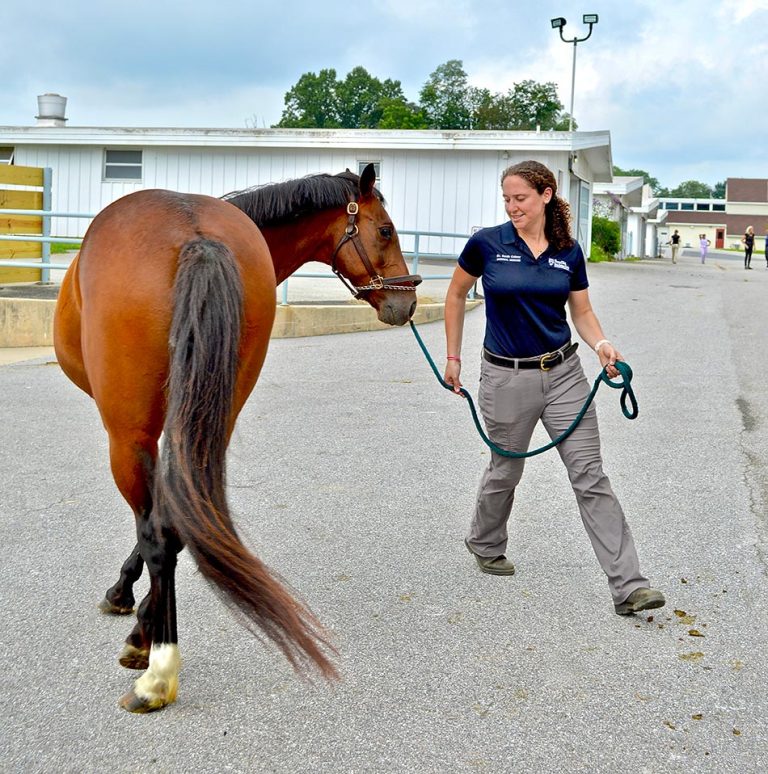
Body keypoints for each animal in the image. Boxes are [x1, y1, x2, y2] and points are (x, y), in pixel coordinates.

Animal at [53, 163, 421, 712]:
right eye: (385, 230)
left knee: (159, 532)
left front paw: (125, 601)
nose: (406, 301)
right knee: (179, 518)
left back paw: (157, 672)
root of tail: (196, 237)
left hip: (128, 435)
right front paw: (138, 618)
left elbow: (151, 527)